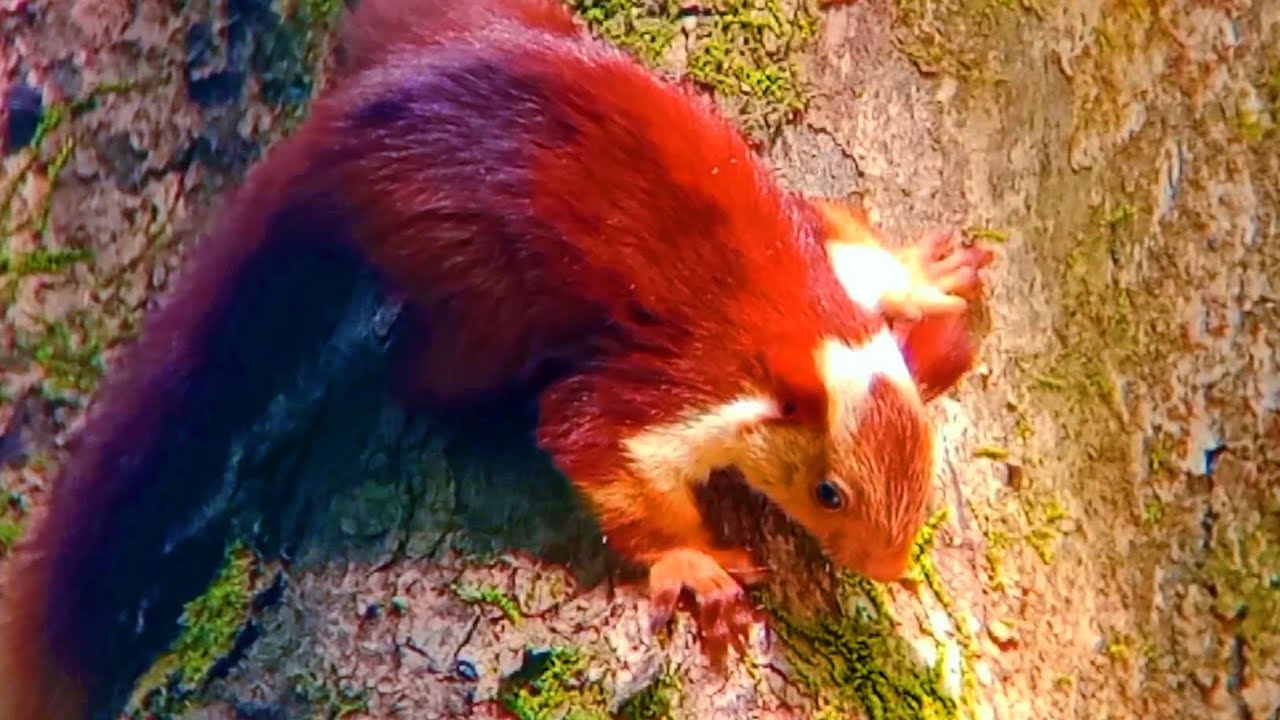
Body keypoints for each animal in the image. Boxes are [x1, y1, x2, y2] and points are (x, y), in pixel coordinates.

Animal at [0, 1, 994, 718]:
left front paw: (935, 288)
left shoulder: (828, 261)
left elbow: (866, 251)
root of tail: (346, 129)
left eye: (925, 473)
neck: (801, 326)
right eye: (829, 494)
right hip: (478, 286)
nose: (887, 567)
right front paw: (694, 564)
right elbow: (596, 440)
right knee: (432, 376)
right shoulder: (681, 386)